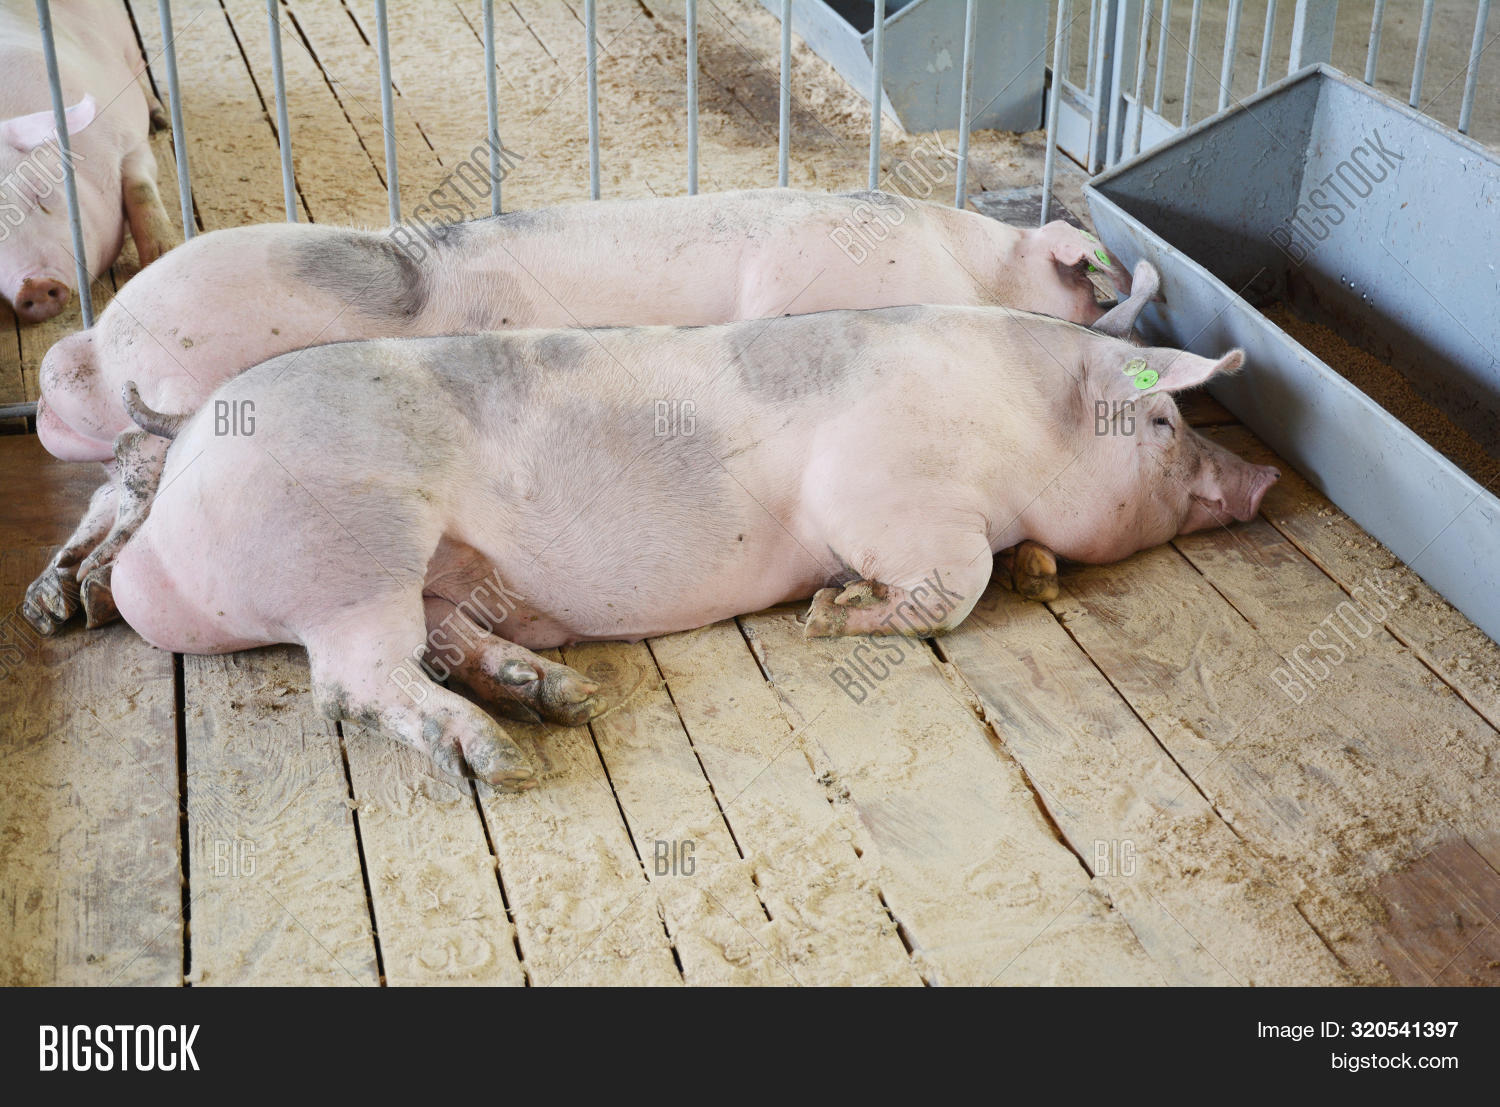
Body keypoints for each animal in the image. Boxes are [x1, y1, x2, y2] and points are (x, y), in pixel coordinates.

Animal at [0, 0, 173, 322]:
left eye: (39, 194)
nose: (34, 286)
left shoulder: (128, 138)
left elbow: (140, 188)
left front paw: (162, 254)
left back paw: (159, 117)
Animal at [25, 187, 1141, 634]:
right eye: (1094, 297)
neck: (967, 266)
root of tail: (91, 345)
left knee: (107, 506)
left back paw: (55, 606)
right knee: (127, 501)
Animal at [104, 304, 1278, 789]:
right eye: (1163, 421)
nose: (1264, 481)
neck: (1018, 421)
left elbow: (1009, 565)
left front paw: (1037, 570)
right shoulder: (880, 487)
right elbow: (956, 579)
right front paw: (828, 613)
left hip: (436, 572)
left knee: (440, 645)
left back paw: (561, 698)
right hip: (354, 553)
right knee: (356, 682)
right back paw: (507, 760)